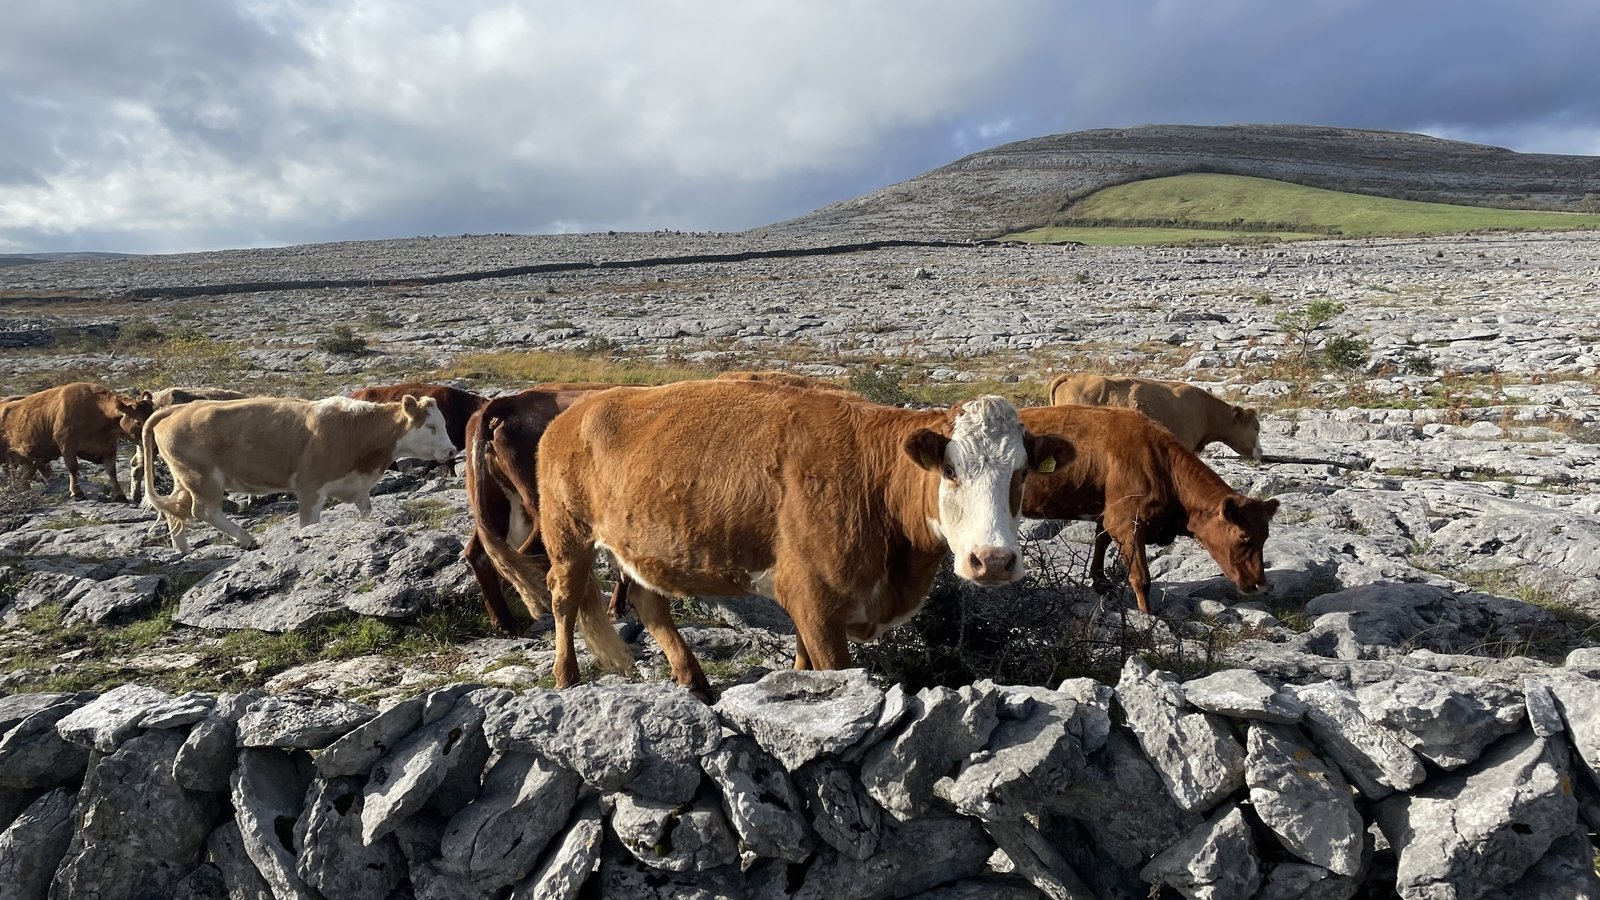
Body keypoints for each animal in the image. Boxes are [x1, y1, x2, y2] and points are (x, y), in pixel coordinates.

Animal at [0, 382, 153, 500]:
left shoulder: (109, 446)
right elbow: (73, 467)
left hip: (30, 457)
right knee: (10, 473)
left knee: (28, 474)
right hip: (6, 456)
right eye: (138, 422)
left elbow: (111, 471)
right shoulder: (66, 443)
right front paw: (76, 493)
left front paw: (119, 495)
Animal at [140, 395, 455, 551]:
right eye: (431, 426)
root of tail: (178, 408)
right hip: (204, 478)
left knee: (174, 510)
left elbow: (367, 512)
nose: (452, 451)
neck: (355, 430)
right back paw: (245, 538)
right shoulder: (310, 487)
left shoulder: (357, 486)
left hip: (184, 479)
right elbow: (308, 525)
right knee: (203, 511)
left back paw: (183, 548)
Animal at [1017, 405, 1278, 615]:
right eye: (1244, 536)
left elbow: (1101, 541)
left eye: (1265, 537)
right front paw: (1147, 615)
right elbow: (1141, 578)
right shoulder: (1126, 522)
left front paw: (1101, 584)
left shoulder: (1108, 514)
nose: (1260, 585)